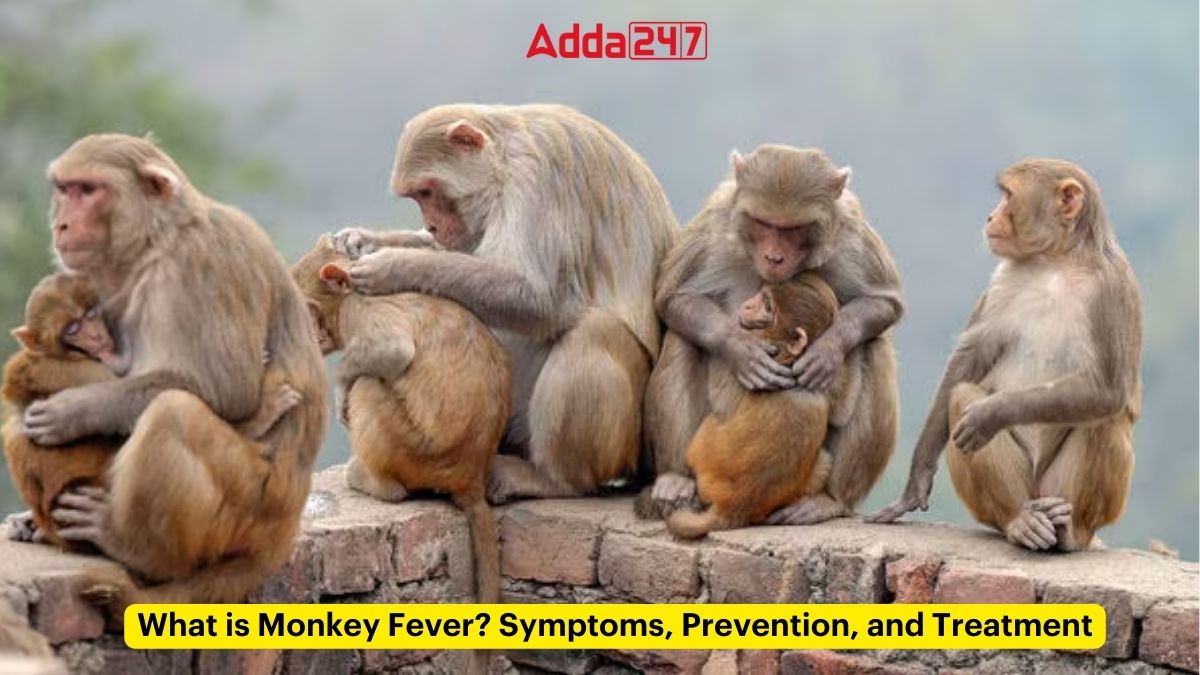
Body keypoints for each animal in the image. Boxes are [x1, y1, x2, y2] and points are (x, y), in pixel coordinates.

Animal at [18, 134, 327, 614]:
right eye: (64, 189)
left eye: (87, 190)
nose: (63, 224)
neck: (155, 242)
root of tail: (284, 529)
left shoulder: (200, 265)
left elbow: (229, 389)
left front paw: (73, 411)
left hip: (250, 502)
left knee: (172, 414)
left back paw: (134, 547)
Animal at [292, 236, 510, 605]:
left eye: (308, 311)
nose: (305, 336)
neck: (348, 290)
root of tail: (470, 476)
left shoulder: (359, 310)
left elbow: (391, 350)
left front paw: (339, 386)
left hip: (412, 450)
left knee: (367, 385)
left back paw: (378, 484)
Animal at [329, 103, 676, 504]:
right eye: (417, 196)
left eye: (427, 191)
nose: (431, 226)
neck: (504, 156)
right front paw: (363, 240)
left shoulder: (535, 179)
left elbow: (540, 299)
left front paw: (393, 266)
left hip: (624, 439)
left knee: (592, 329)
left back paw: (553, 479)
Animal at [666, 273, 855, 539]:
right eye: (762, 298)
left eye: (768, 307)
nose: (747, 306)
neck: (789, 360)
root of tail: (734, 506)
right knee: (824, 459)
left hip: (704, 457)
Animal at [870, 159, 1140, 553]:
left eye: (1008, 196)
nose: (990, 216)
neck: (1057, 263)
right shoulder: (1003, 281)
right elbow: (968, 364)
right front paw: (917, 478)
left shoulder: (1114, 286)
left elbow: (1107, 389)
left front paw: (992, 413)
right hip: (1014, 496)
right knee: (962, 396)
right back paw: (1019, 521)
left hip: (1077, 496)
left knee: (1103, 415)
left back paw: (1069, 530)